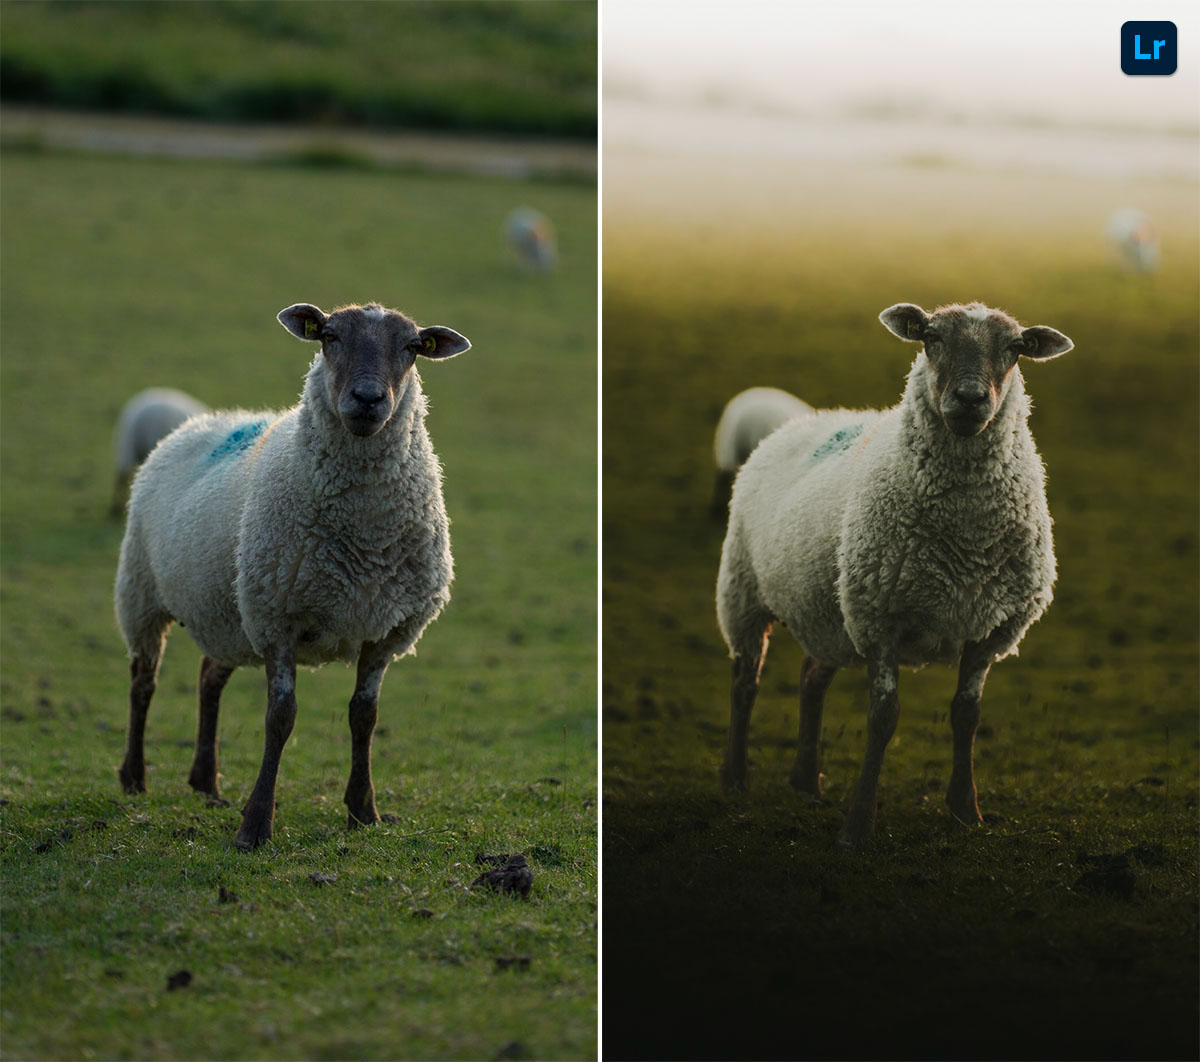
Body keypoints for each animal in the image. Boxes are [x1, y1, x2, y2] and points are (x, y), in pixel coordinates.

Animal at [716, 301, 1073, 848]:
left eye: (1016, 348)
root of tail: (807, 420)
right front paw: (858, 825)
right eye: (930, 337)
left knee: (811, 678)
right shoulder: (880, 617)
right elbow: (883, 718)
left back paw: (806, 782)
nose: (970, 399)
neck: (965, 543)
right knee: (744, 682)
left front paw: (966, 810)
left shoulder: (992, 628)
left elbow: (966, 715)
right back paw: (736, 778)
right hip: (745, 592)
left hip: (829, 611)